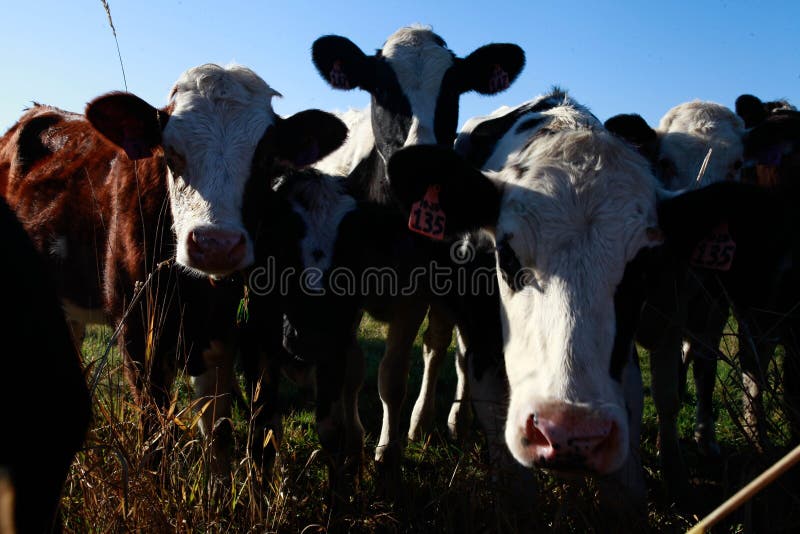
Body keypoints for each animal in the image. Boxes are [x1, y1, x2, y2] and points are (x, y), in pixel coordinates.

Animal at [0, 63, 347, 484]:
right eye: (171, 154)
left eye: (266, 159)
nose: (216, 244)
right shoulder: (138, 333)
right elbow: (155, 442)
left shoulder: (254, 336)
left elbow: (233, 437)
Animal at [309, 24, 525, 481]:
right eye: (381, 87)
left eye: (454, 88)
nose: (424, 158)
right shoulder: (342, 289)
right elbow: (351, 367)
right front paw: (349, 443)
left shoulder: (415, 293)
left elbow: (392, 376)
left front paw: (386, 454)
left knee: (445, 348)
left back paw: (435, 423)